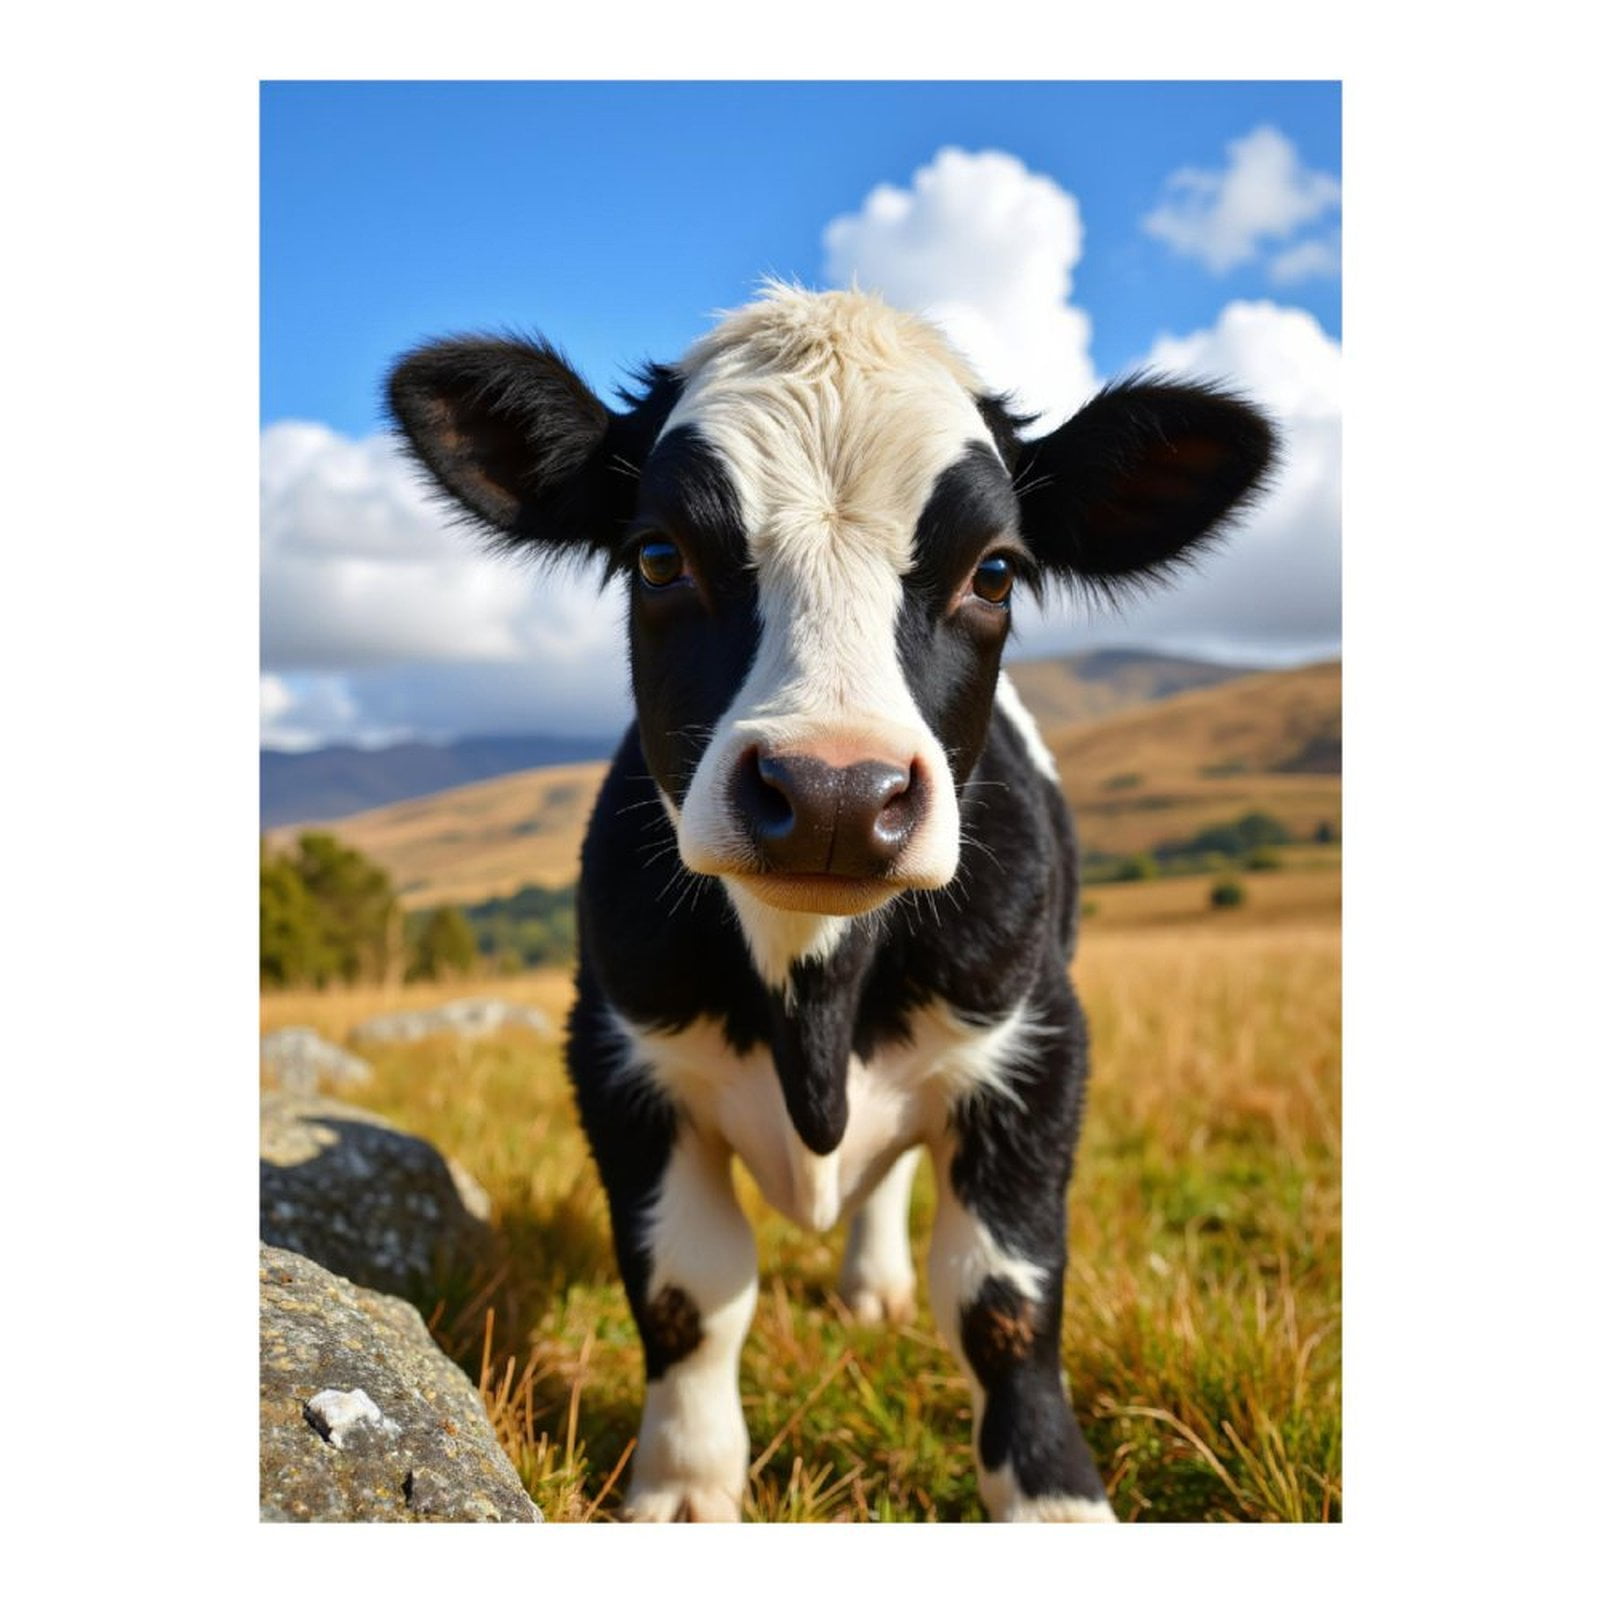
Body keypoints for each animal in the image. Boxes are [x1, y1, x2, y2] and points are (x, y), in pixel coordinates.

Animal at [387, 285, 1277, 1522]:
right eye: (657, 556)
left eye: (994, 571)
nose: (833, 794)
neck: (810, 980)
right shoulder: (613, 1057)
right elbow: (689, 1291)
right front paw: (685, 1485)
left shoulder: (1039, 1048)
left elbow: (1004, 1299)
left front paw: (1050, 1498)